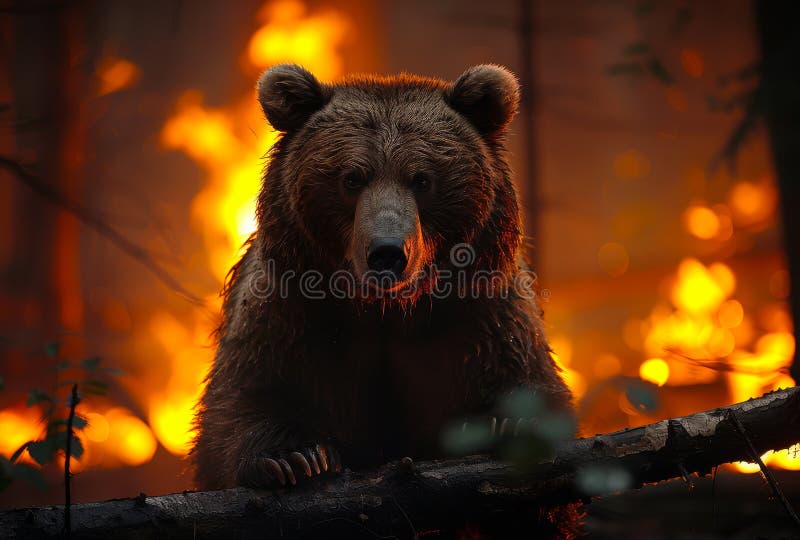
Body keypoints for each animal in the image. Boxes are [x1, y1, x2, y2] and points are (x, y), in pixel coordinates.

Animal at [192, 63, 575, 536]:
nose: (388, 253)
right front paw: (295, 457)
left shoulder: (482, 312)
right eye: (352, 177)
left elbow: (528, 378)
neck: (387, 310)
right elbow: (243, 397)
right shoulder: (289, 311)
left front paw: (514, 422)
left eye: (422, 178)